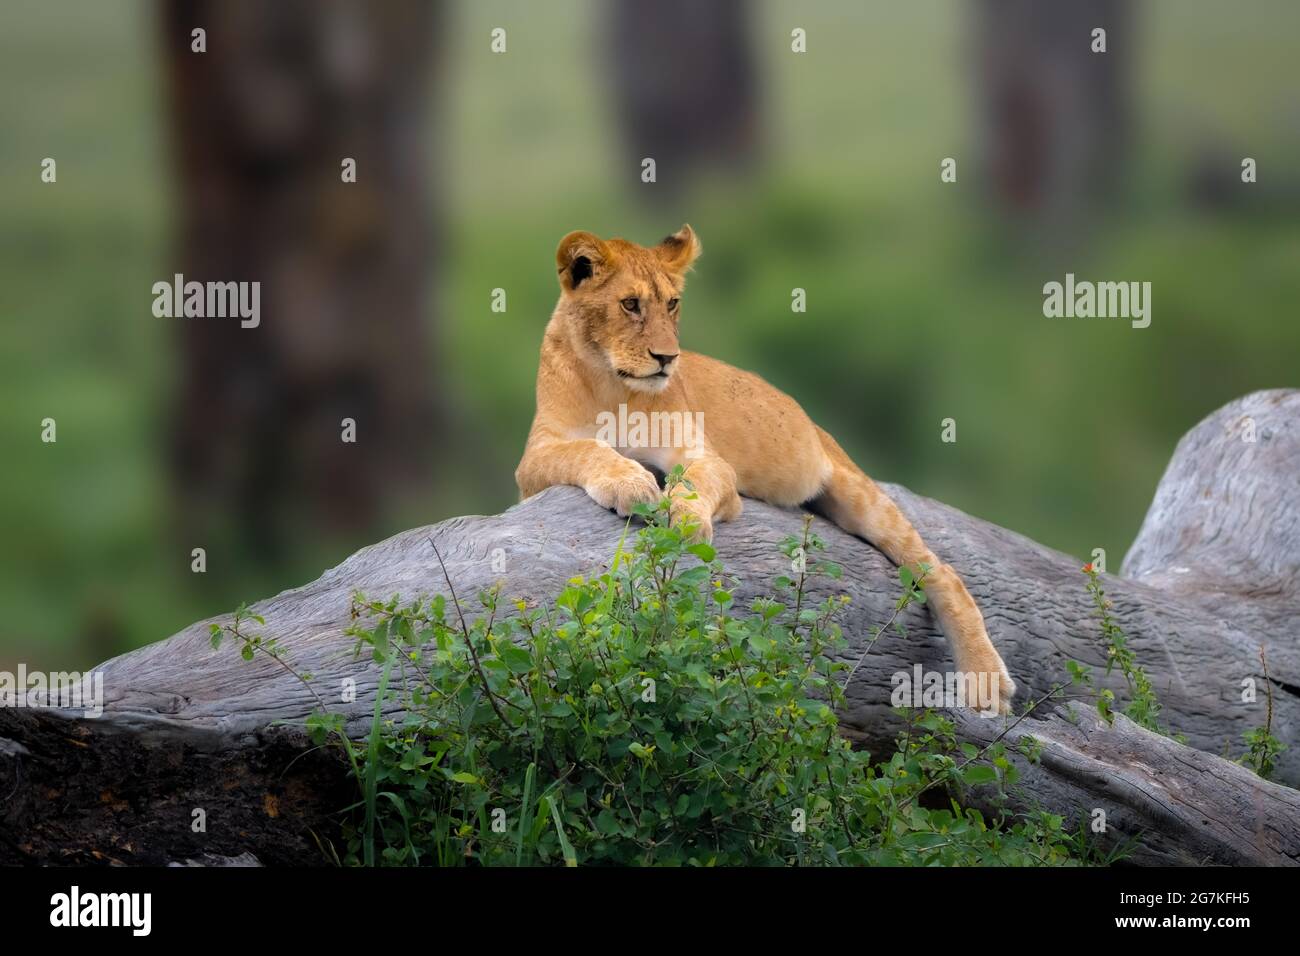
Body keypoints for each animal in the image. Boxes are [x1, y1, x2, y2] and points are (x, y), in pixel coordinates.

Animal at [515, 225, 1015, 714]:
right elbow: (585, 450)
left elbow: (697, 482)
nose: (668, 358)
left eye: (672, 303)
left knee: (941, 570)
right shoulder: (534, 460)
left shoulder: (705, 455)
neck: (612, 385)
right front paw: (629, 483)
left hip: (857, 493)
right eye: (630, 304)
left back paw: (986, 681)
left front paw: (686, 522)